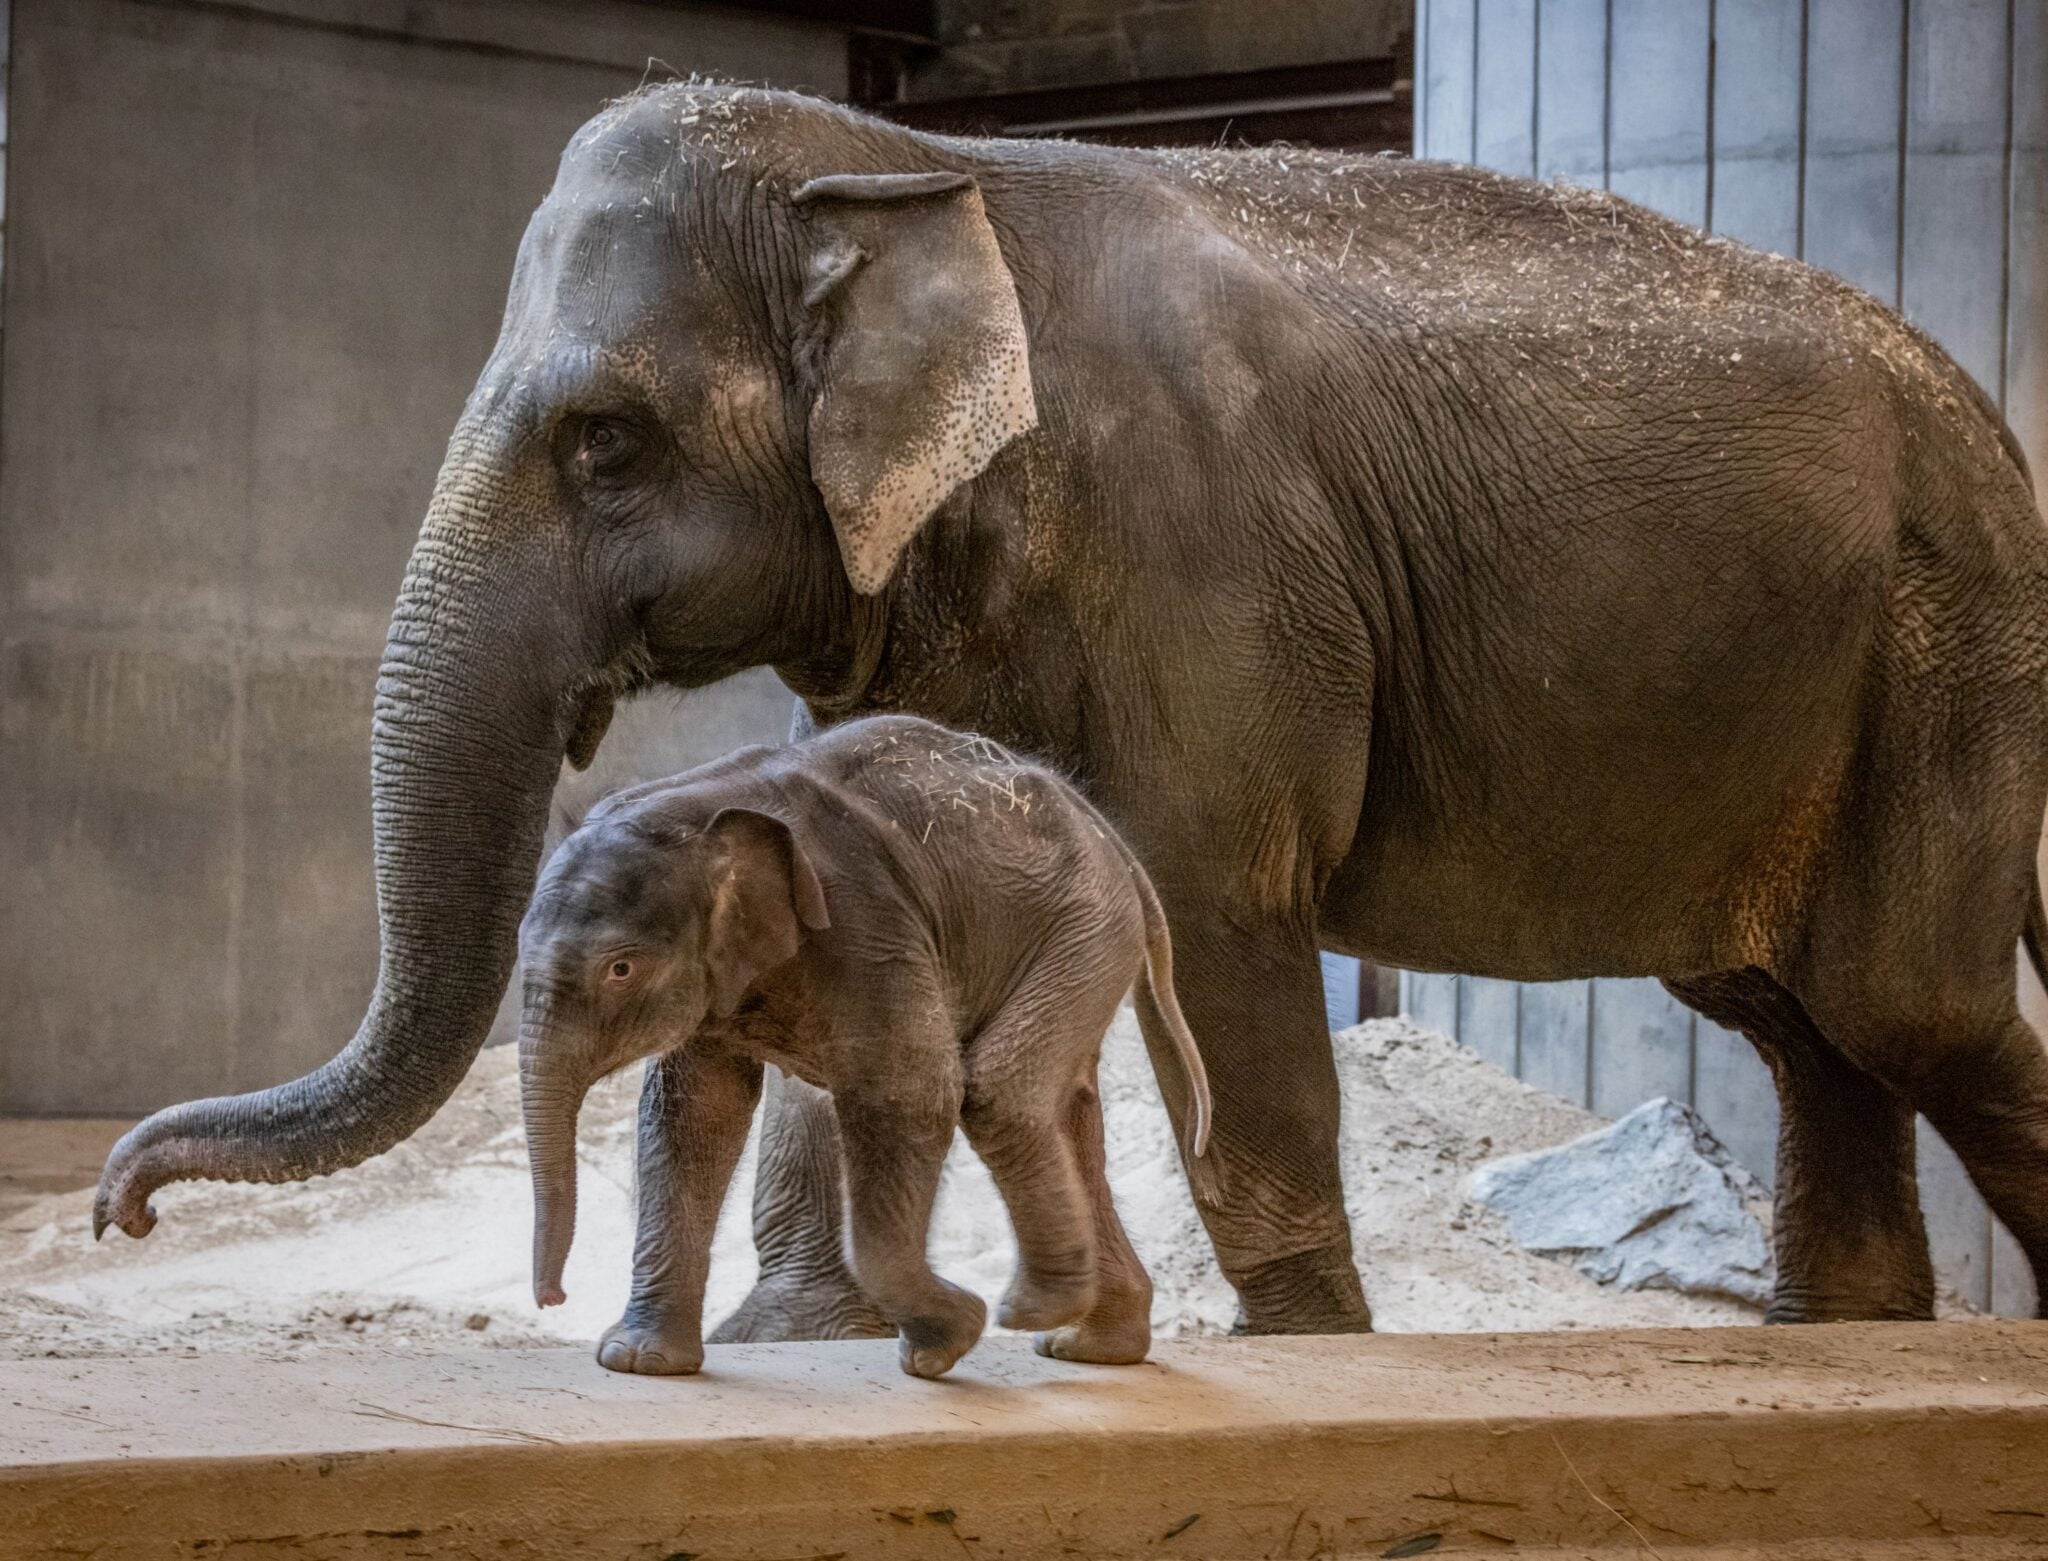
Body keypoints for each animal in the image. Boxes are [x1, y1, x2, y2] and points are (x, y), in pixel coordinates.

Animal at [516, 713, 1214, 1378]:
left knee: (1001, 1095)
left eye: (621, 969)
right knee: (1067, 1113)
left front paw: (948, 1340)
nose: (552, 1299)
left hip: (1085, 925)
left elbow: (909, 1093)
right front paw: (639, 1363)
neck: (699, 804)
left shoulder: (866, 922)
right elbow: (693, 1114)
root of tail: (1109, 836)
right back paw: (1089, 1345)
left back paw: (1032, 1312)